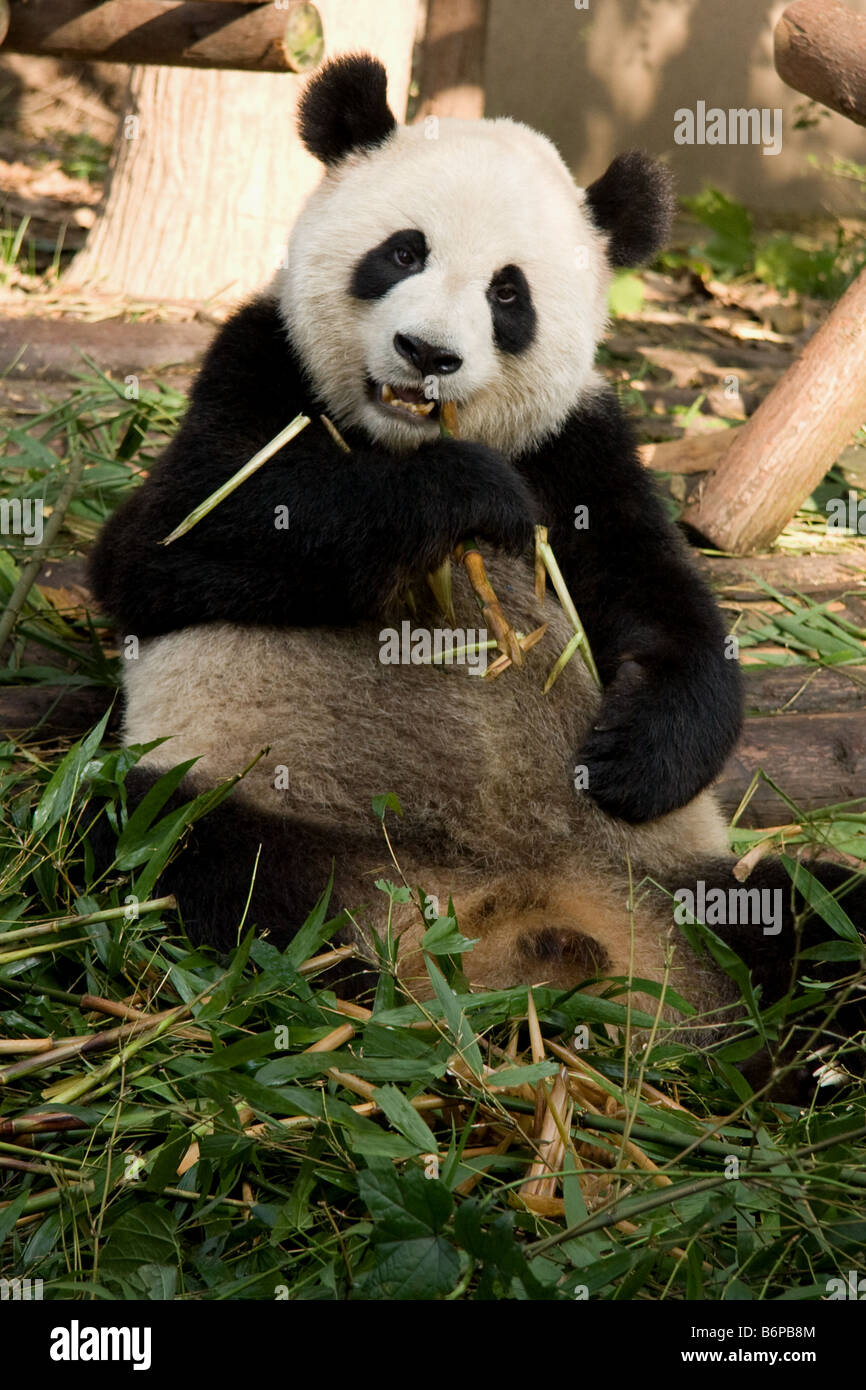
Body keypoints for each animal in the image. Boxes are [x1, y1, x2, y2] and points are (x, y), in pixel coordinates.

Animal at [90, 54, 864, 1066]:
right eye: (402, 252)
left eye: (508, 294)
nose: (426, 353)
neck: (393, 436)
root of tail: (532, 912)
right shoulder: (256, 366)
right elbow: (162, 545)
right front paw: (463, 493)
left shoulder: (578, 443)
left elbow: (661, 599)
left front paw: (636, 760)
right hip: (258, 805)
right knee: (198, 854)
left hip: (690, 881)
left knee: (820, 911)